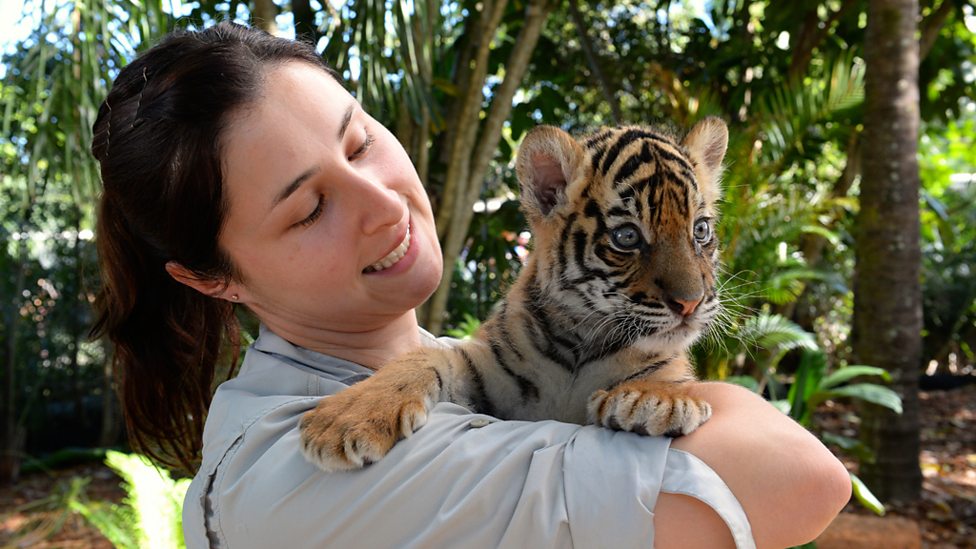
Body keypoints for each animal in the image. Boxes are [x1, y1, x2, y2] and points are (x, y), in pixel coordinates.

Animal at [299, 117, 730, 472]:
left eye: (700, 230)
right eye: (627, 237)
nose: (690, 303)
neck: (581, 341)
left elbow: (668, 369)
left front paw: (656, 400)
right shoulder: (487, 372)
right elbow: (424, 356)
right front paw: (347, 419)